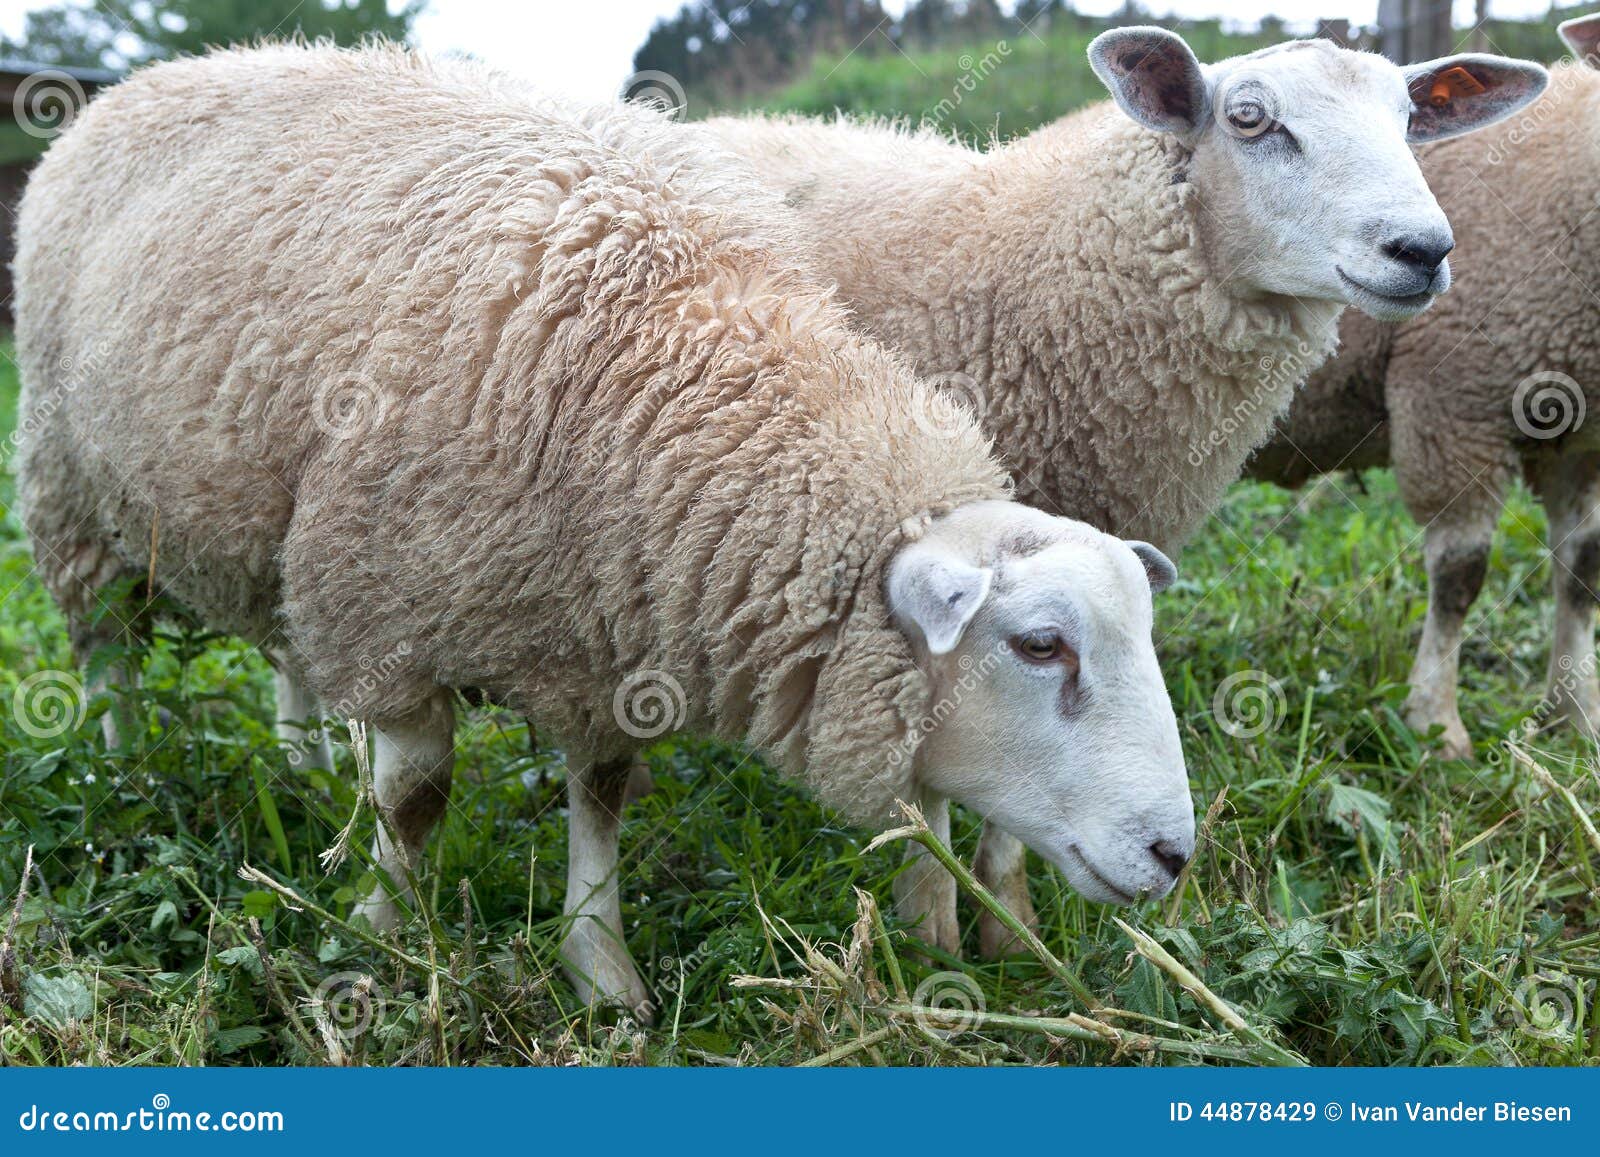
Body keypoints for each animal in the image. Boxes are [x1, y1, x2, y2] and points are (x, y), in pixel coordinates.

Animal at [13, 43, 1195, 1017]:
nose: (1176, 853)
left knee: (281, 648)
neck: (668, 374)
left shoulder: (607, 622)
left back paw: (301, 764)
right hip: (67, 483)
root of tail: (157, 76)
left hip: (269, 524)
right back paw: (120, 768)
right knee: (106, 646)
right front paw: (384, 936)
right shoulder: (388, 611)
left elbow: (602, 792)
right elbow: (414, 797)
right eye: (1039, 645)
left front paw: (600, 967)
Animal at [705, 28, 1548, 954]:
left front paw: (1013, 928)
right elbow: (929, 788)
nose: (1423, 249)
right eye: (1250, 119)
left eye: (1407, 119)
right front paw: (935, 941)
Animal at [1248, 14, 1600, 761]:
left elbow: (1583, 572)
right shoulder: (1453, 402)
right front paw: (1435, 726)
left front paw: (1576, 719)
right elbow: (1461, 576)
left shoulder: (1585, 438)